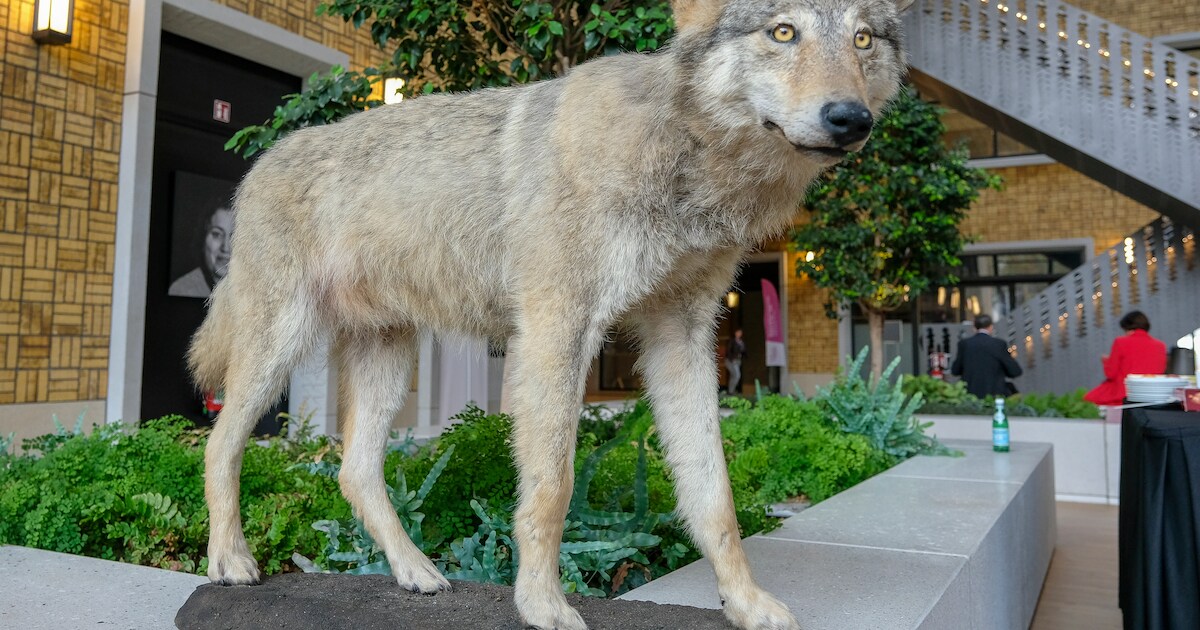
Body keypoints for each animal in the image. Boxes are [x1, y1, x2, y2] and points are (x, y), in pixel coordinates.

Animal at [189, 0, 913, 626]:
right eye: (784, 31)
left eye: (862, 39)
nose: (850, 118)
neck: (686, 155)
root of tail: (261, 161)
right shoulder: (556, 329)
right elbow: (551, 487)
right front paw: (542, 605)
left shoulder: (683, 338)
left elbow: (715, 497)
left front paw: (746, 604)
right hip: (277, 350)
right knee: (221, 445)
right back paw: (230, 561)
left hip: (386, 362)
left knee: (354, 472)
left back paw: (416, 573)